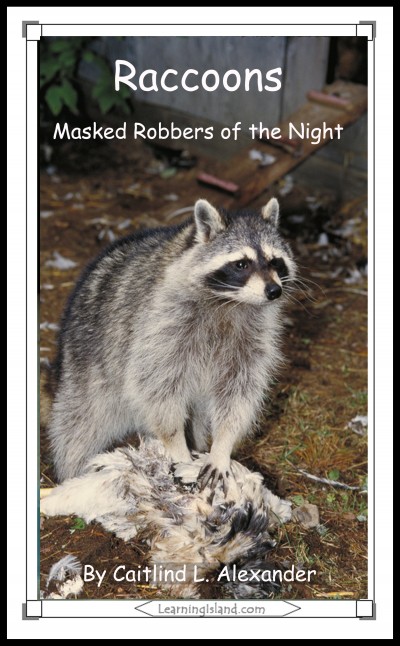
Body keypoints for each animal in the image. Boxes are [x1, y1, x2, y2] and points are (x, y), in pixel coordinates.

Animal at [46, 197, 296, 490]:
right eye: (242, 264)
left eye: (275, 261)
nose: (274, 291)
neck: (230, 302)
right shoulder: (160, 322)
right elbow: (155, 386)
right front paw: (177, 445)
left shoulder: (253, 337)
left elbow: (239, 390)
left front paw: (222, 446)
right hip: (86, 358)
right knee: (79, 423)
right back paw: (74, 472)